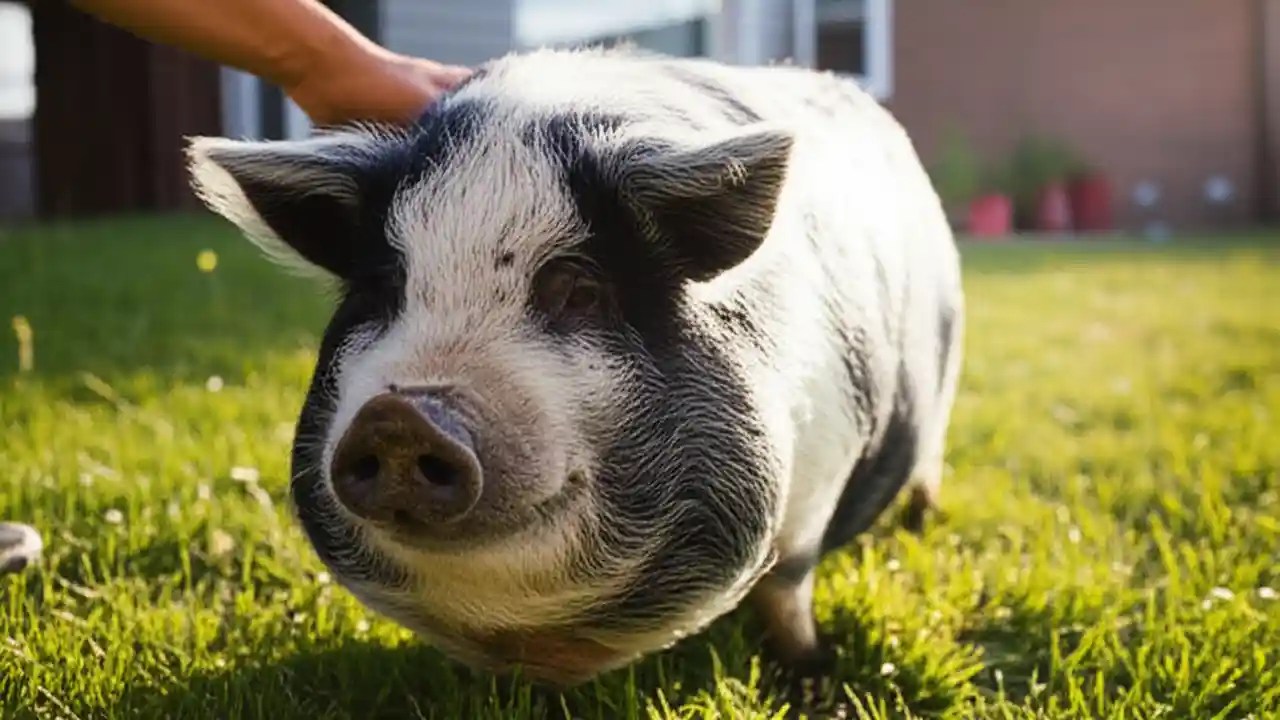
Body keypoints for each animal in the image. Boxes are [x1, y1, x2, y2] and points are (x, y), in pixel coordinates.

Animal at [185, 45, 964, 688]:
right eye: (383, 288)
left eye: (579, 290)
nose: (401, 415)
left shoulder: (815, 485)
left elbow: (786, 591)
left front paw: (809, 672)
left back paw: (923, 519)